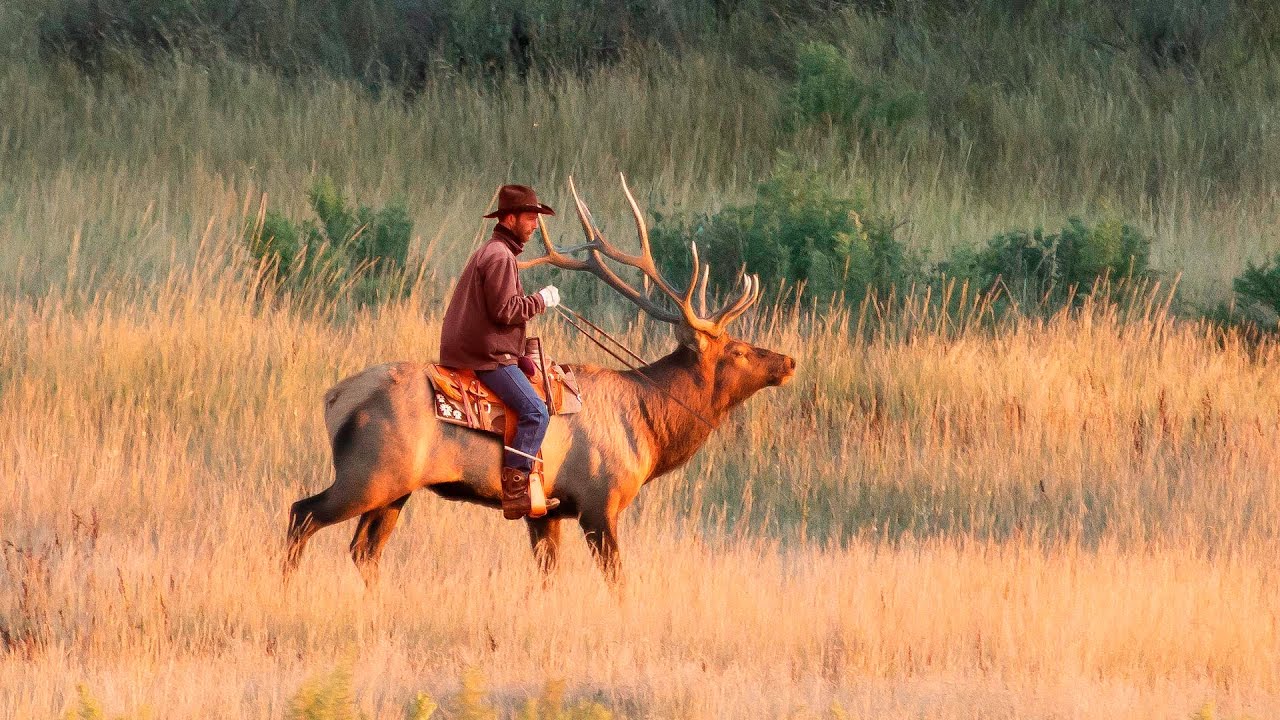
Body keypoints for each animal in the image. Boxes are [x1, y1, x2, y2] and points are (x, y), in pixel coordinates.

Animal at [283, 176, 797, 586]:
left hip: (395, 487)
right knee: (302, 515)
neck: (649, 425)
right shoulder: (599, 502)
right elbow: (617, 582)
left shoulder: (546, 511)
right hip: (366, 474)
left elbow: (548, 576)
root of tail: (334, 400)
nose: (788, 361)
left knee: (364, 550)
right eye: (738, 350)